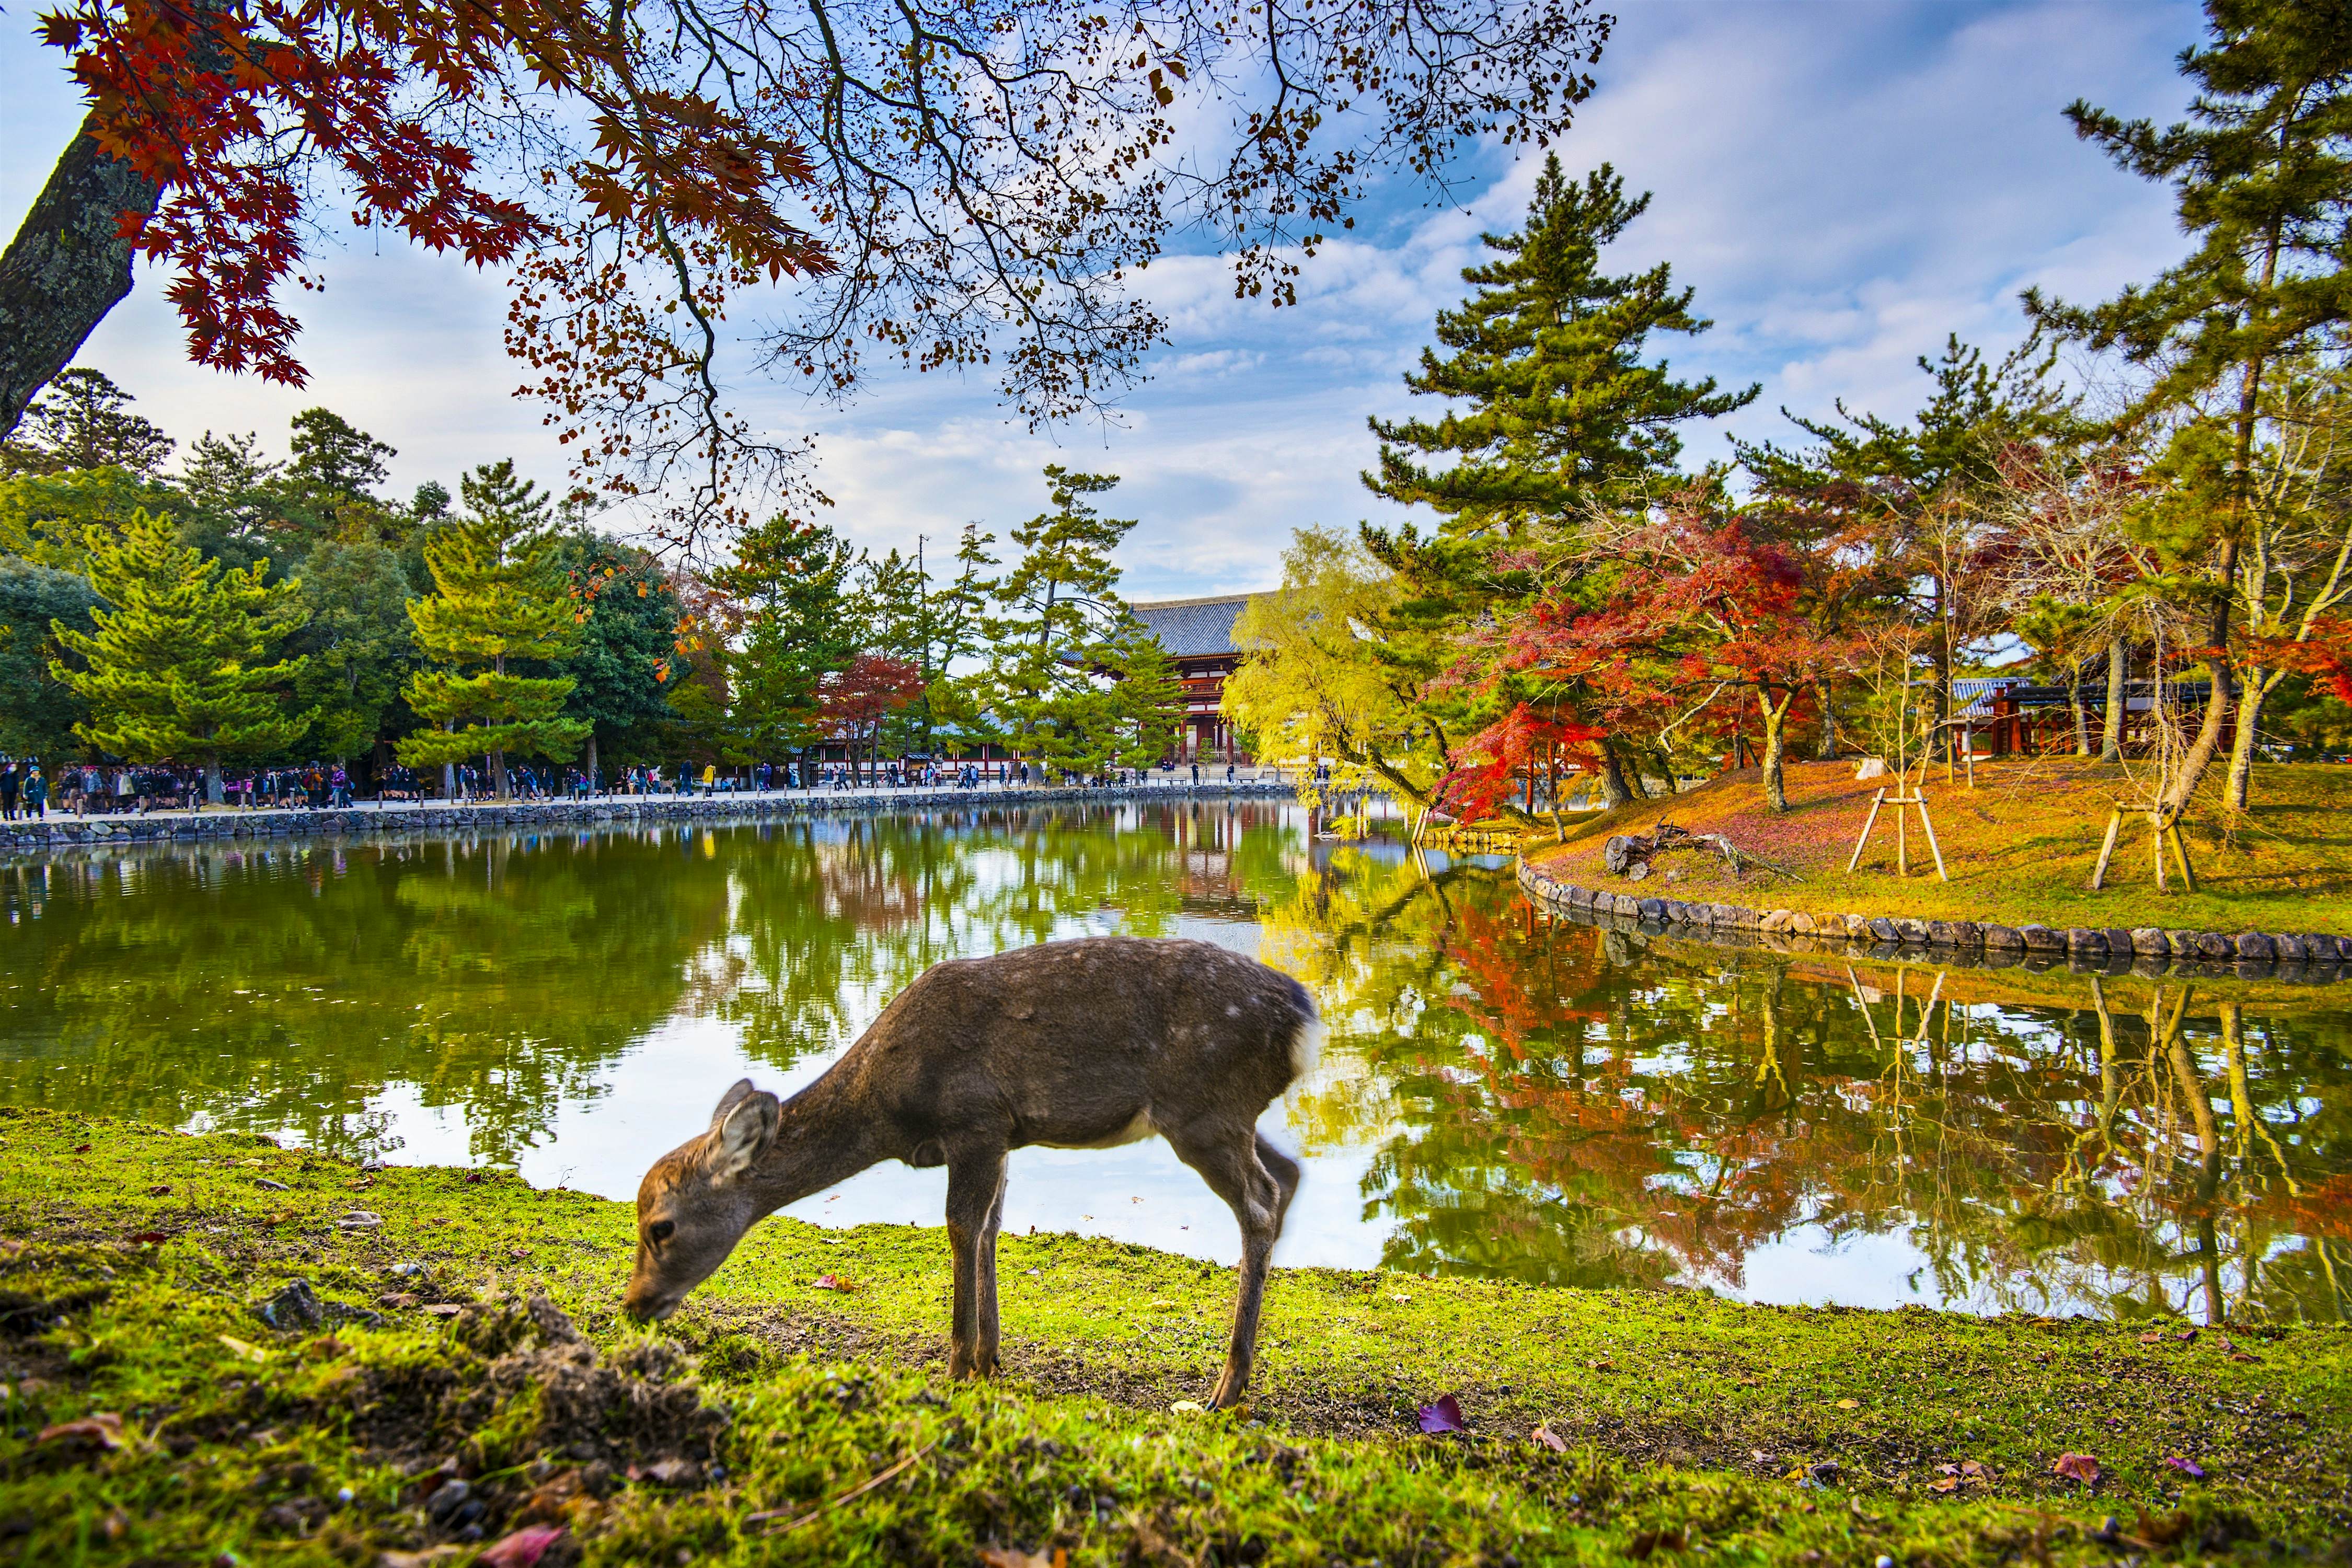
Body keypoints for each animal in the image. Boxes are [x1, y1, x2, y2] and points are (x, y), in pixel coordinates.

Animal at [623, 935, 1323, 1409]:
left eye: (661, 1226)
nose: (633, 1305)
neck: (889, 1105)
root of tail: (1304, 1018)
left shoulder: (975, 1119)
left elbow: (962, 1226)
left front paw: (959, 1365)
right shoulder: (1003, 1134)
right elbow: (991, 1226)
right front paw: (990, 1359)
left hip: (1203, 1107)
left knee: (1260, 1201)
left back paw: (1226, 1387)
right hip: (1227, 1114)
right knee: (1288, 1174)